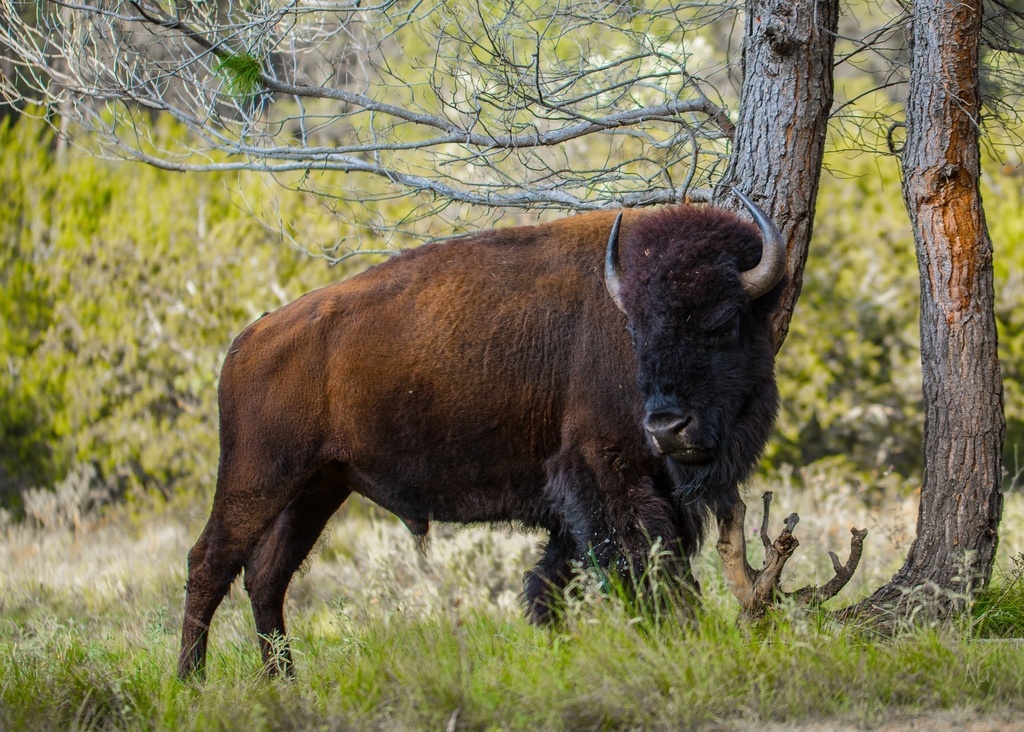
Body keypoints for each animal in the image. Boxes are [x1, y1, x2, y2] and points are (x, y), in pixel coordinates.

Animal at [177, 190, 787, 678]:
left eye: (723, 323)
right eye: (634, 330)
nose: (667, 426)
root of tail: (249, 338)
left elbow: (553, 582)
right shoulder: (603, 474)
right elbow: (644, 563)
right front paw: (678, 638)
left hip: (318, 487)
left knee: (266, 575)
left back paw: (283, 681)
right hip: (258, 479)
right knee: (210, 562)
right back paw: (192, 683)